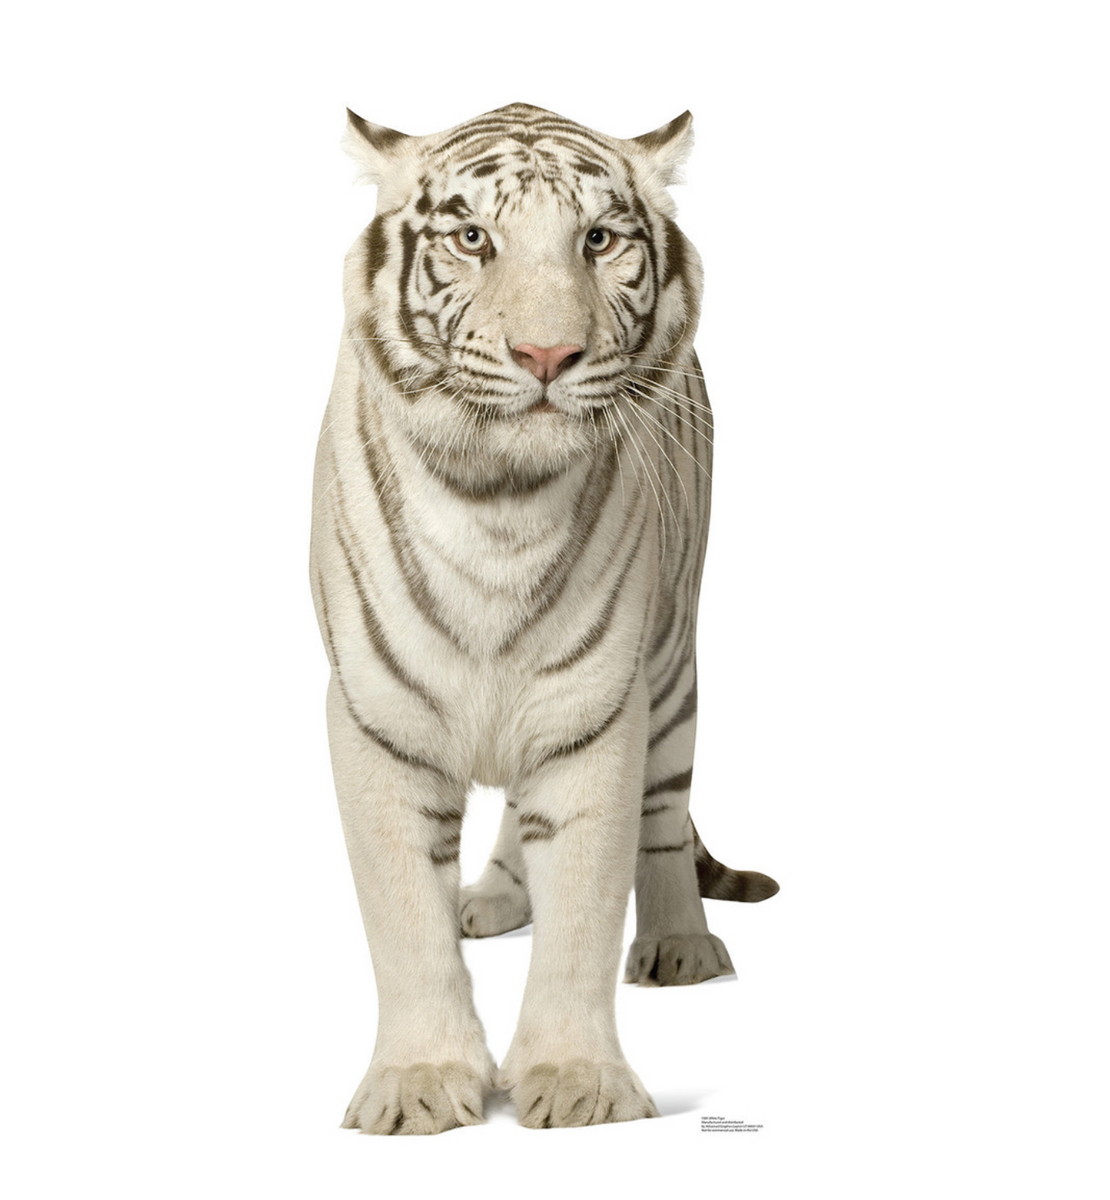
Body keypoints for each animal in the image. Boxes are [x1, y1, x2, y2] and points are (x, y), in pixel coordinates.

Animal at [310, 102, 778, 1135]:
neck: (496, 497)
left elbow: (586, 911)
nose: (547, 357)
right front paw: (418, 1084)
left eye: (598, 239)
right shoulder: (375, 719)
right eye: (473, 239)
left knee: (662, 819)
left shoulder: (595, 711)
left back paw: (682, 946)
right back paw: (488, 899)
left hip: (672, 665)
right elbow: (403, 917)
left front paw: (575, 1081)